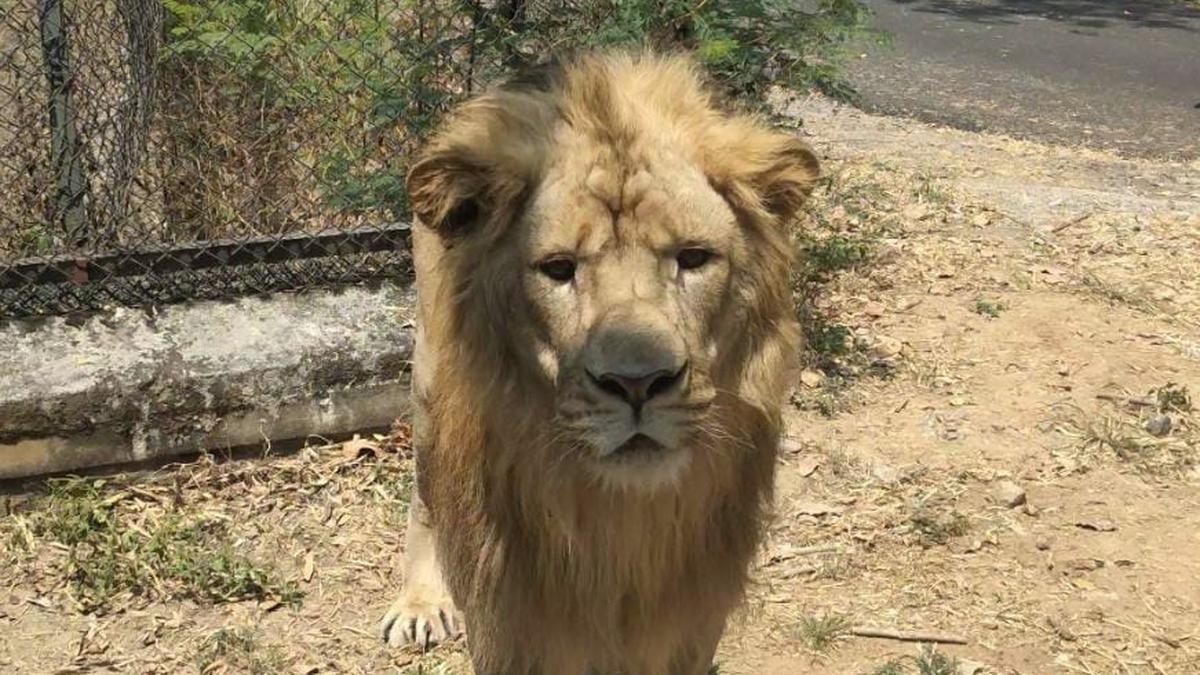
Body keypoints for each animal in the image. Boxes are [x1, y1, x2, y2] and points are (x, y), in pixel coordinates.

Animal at [378, 51, 819, 675]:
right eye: (559, 269)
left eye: (693, 258)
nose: (638, 383)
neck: (618, 516)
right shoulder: (508, 618)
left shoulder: (695, 618)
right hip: (429, 379)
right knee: (423, 494)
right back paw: (420, 601)